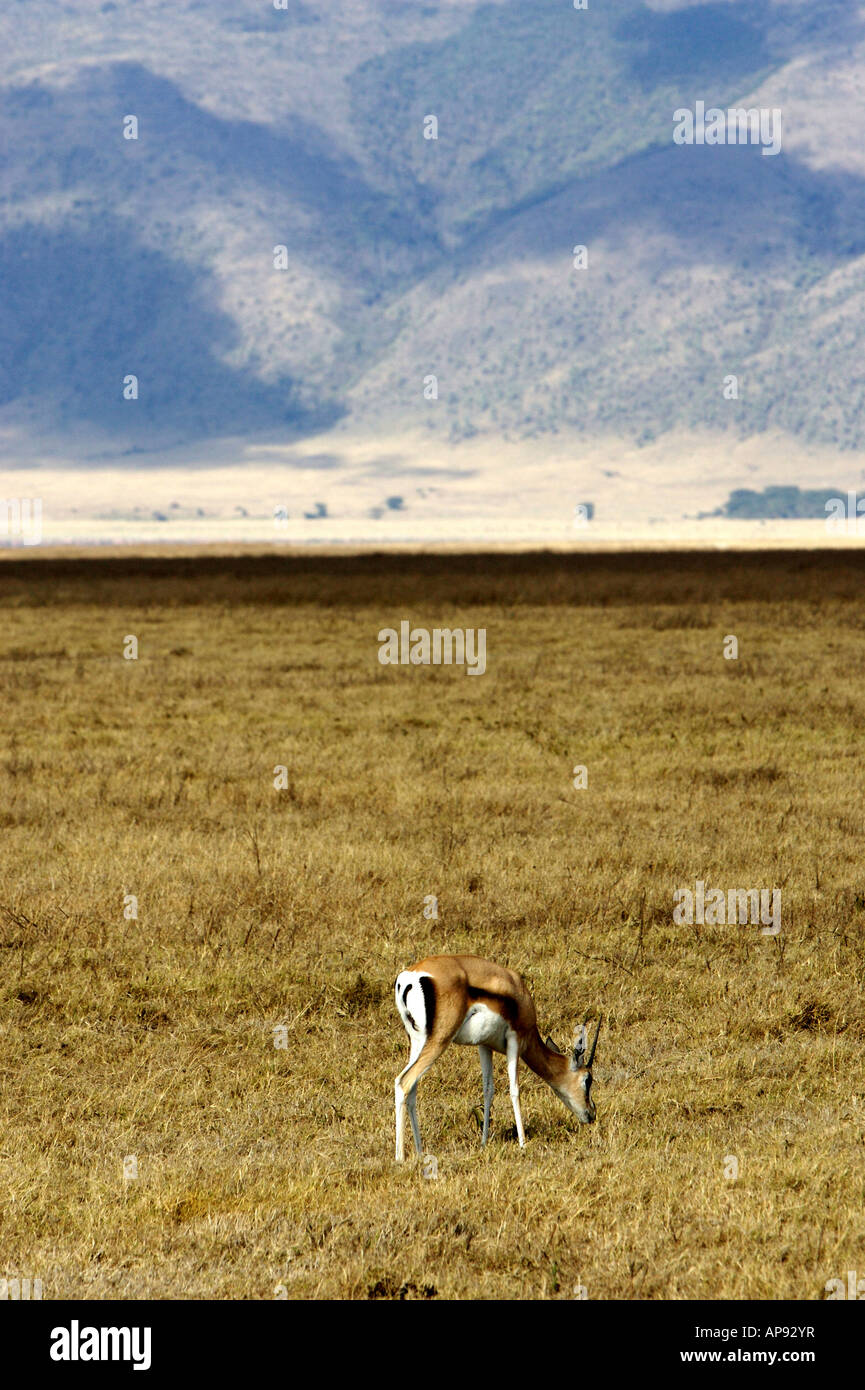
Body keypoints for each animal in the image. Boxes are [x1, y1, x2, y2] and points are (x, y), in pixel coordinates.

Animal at [394, 954, 602, 1160]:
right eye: (588, 1079)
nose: (592, 1113)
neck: (518, 995)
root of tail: (410, 975)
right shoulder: (515, 1040)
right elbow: (514, 1090)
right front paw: (523, 1144)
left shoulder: (484, 1045)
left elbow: (488, 1090)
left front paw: (484, 1142)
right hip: (440, 1039)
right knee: (403, 1081)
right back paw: (400, 1157)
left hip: (418, 1041)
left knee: (412, 1089)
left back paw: (419, 1151)